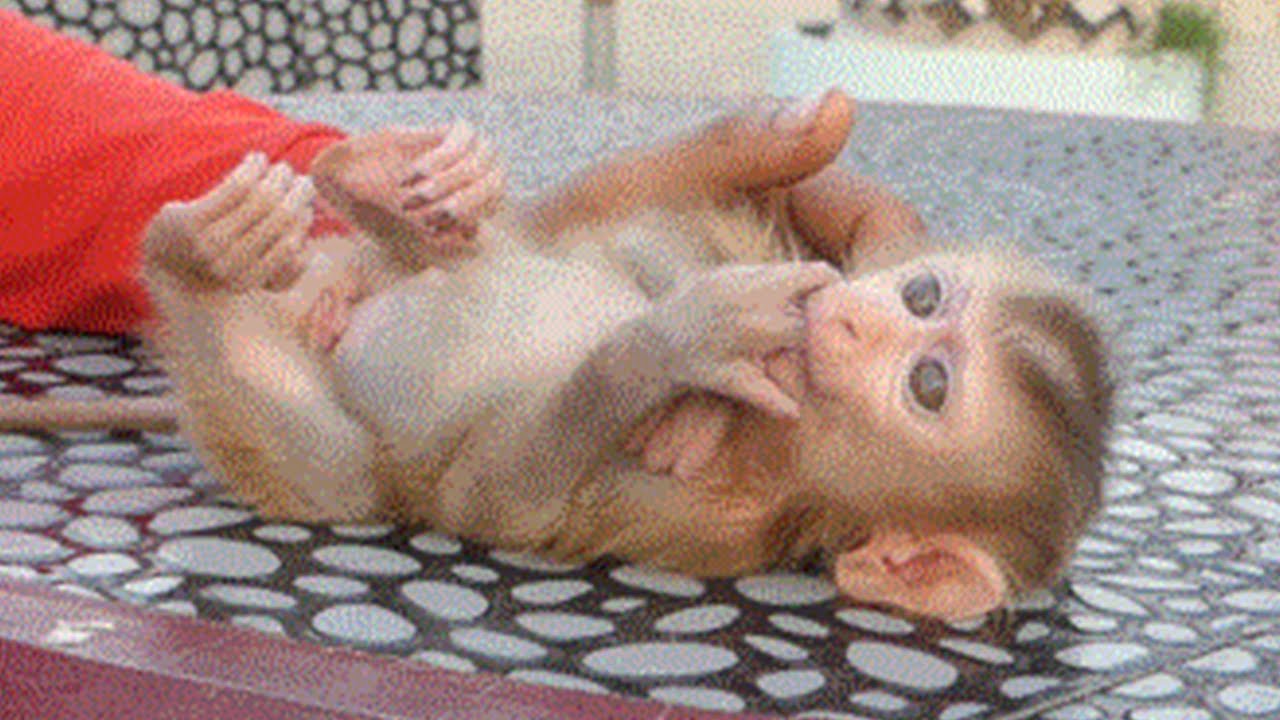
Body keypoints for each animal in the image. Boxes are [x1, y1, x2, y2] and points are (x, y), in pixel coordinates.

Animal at [0, 96, 1114, 621]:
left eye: (928, 387)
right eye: (920, 296)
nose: (846, 323)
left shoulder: (723, 513)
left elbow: (490, 488)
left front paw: (662, 352)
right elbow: (653, 247)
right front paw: (695, 332)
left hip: (296, 428)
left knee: (338, 470)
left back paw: (189, 265)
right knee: (485, 244)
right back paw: (382, 184)